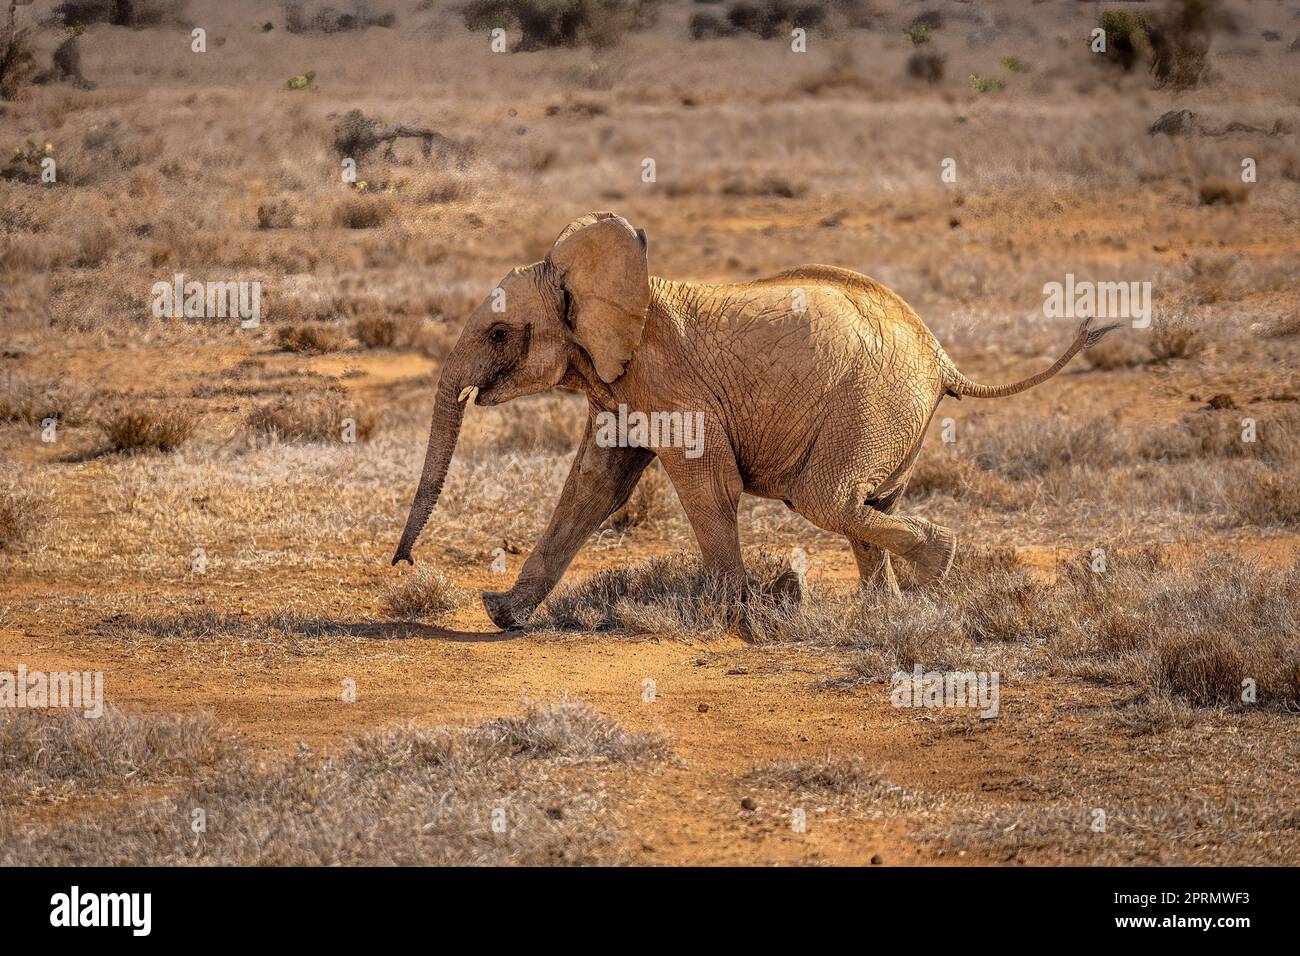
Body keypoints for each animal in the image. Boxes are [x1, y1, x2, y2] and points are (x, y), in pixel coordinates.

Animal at [392, 211, 1118, 629]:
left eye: (498, 333)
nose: (402, 562)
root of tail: (942, 356)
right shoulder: (617, 385)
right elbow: (593, 488)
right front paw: (501, 616)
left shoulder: (671, 385)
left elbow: (705, 488)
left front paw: (724, 614)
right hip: (892, 414)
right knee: (865, 502)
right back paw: (884, 614)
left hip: (873, 403)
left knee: (827, 500)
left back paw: (933, 572)